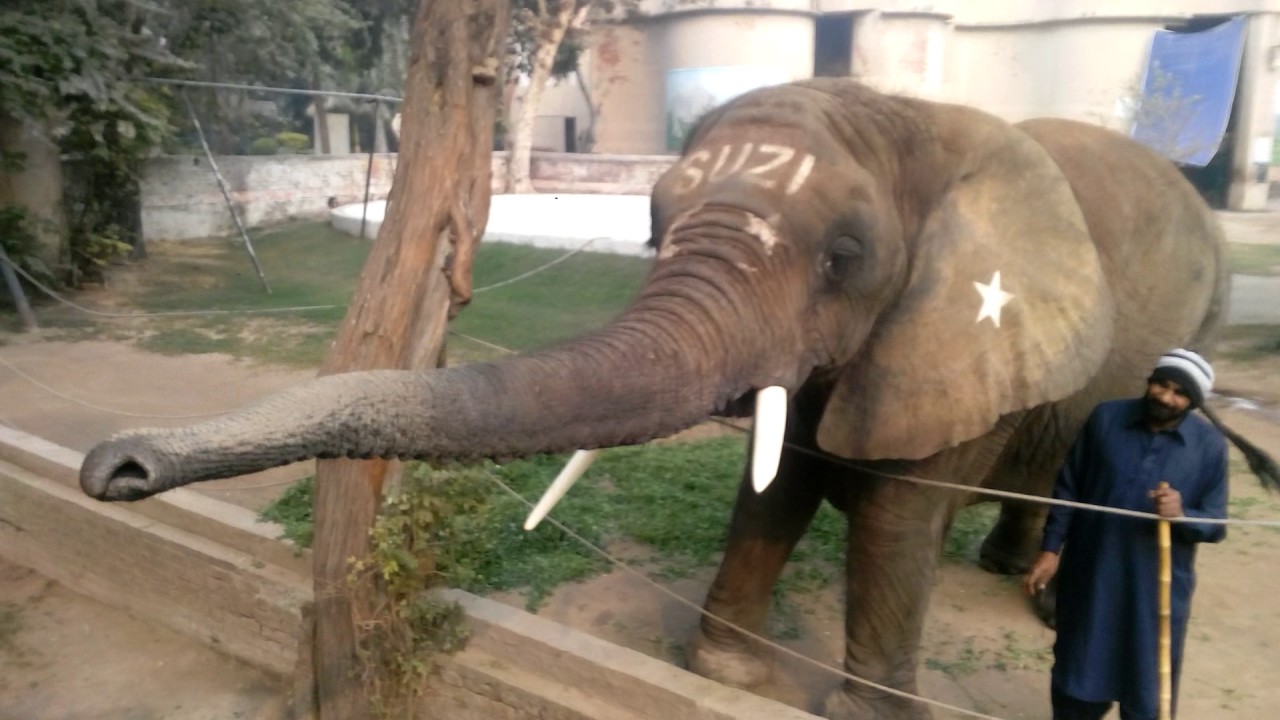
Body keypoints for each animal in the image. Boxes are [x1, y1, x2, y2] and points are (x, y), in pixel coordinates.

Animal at [80, 79, 1241, 719]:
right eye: (651, 223)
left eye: (845, 257)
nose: (114, 466)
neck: (907, 113)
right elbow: (776, 485)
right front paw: (726, 671)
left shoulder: (961, 331)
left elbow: (894, 514)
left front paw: (867, 712)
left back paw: (1028, 586)